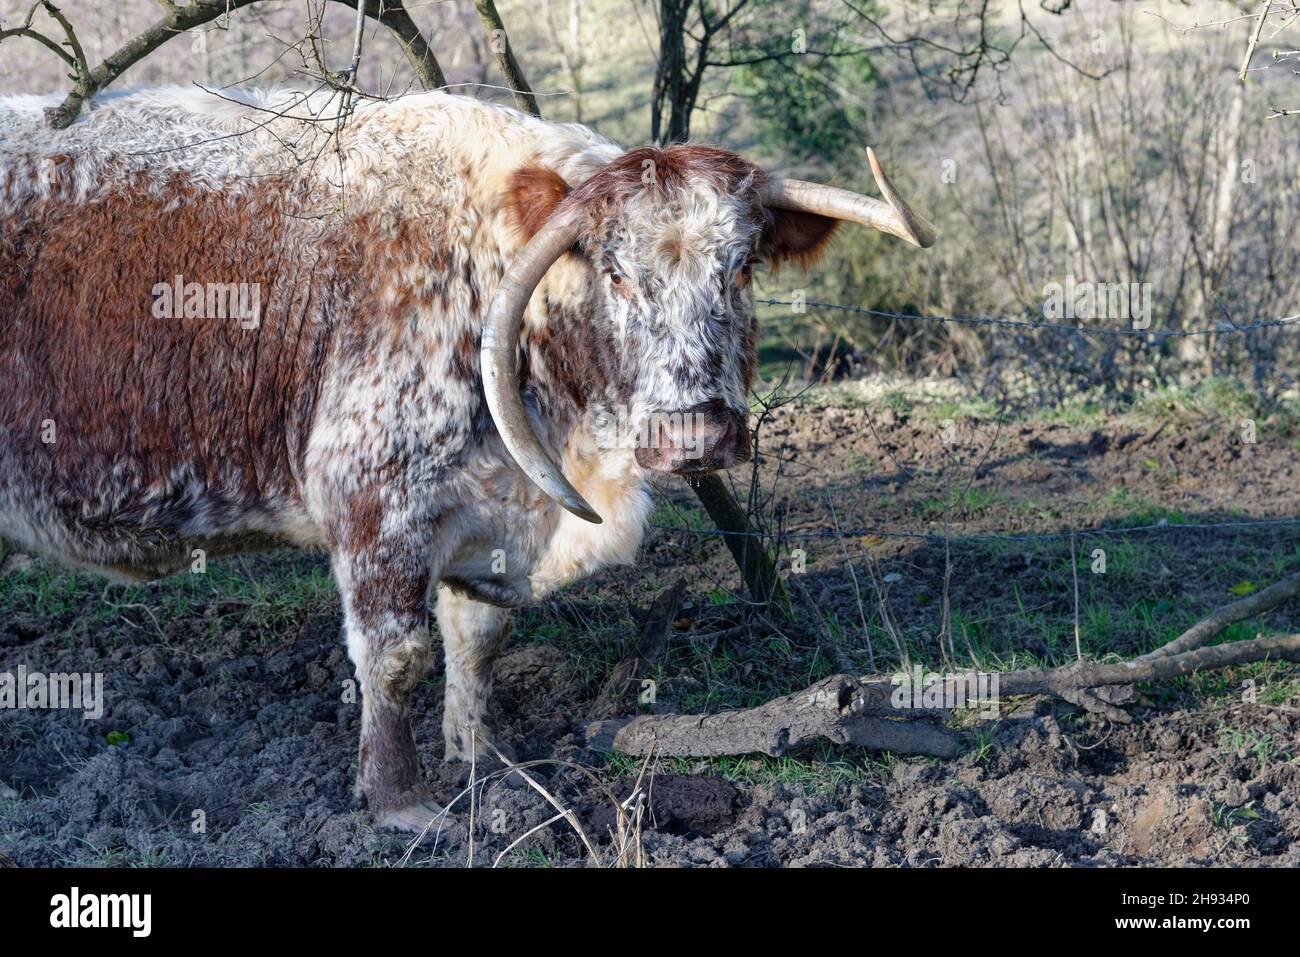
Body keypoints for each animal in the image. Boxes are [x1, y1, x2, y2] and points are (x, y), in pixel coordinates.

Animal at [0, 87, 934, 830]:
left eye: (740, 268)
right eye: (616, 273)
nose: (693, 435)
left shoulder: (486, 513)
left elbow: (478, 640)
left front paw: (487, 763)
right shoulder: (376, 498)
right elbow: (395, 655)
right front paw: (400, 801)